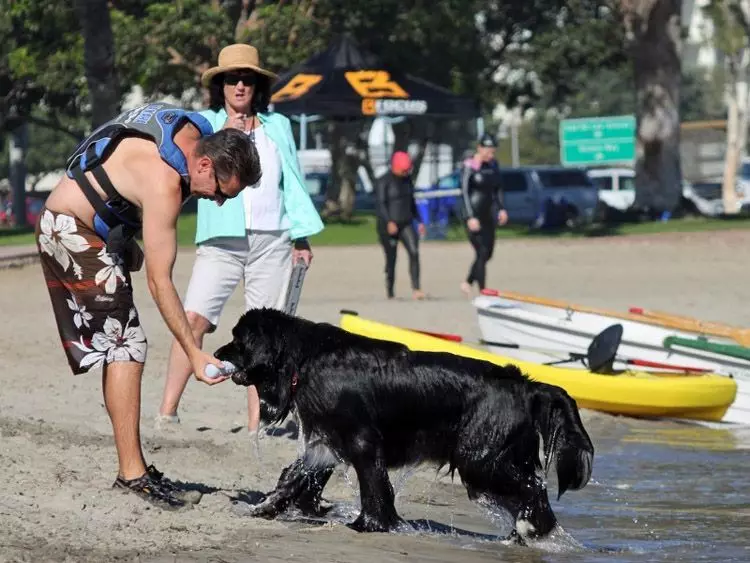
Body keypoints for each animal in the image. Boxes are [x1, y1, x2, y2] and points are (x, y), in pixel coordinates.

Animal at [214, 306, 596, 544]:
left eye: (238, 340)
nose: (216, 353)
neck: (304, 358)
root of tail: (528, 385)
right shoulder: (325, 444)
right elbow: (293, 479)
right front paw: (261, 509)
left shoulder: (362, 441)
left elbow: (373, 488)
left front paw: (370, 525)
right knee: (533, 489)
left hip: (479, 459)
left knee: (532, 490)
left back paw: (531, 529)